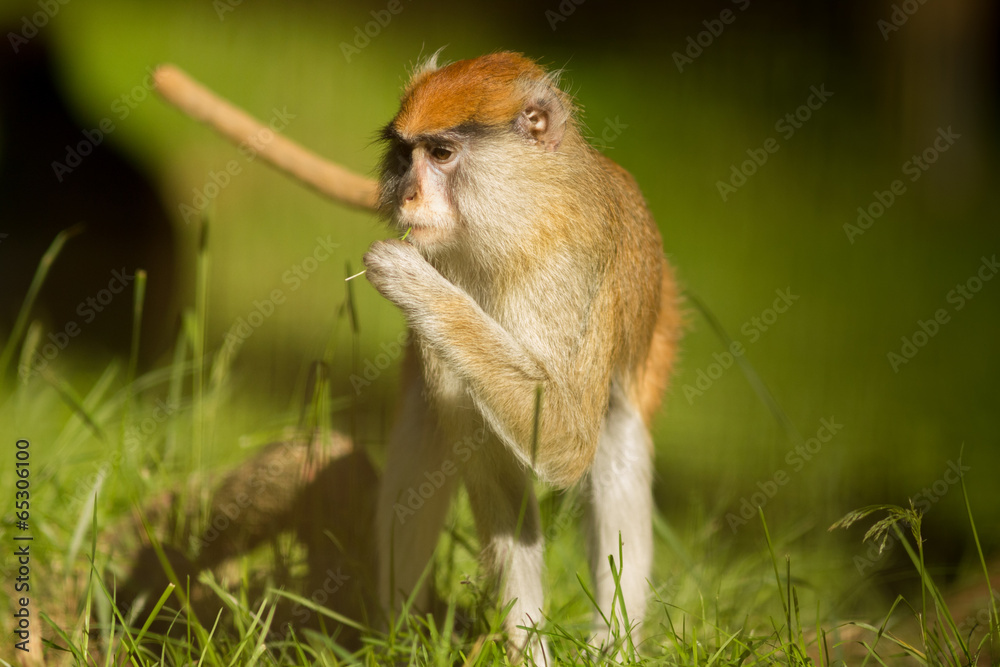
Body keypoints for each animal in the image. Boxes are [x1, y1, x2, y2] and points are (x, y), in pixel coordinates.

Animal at [363, 51, 681, 660]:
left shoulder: (567, 269)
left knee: (616, 439)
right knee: (423, 432)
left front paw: (411, 281)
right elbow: (489, 461)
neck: (521, 211)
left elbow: (564, 441)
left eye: (442, 154)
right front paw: (527, 647)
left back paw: (615, 646)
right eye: (405, 155)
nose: (408, 196)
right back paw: (398, 635)